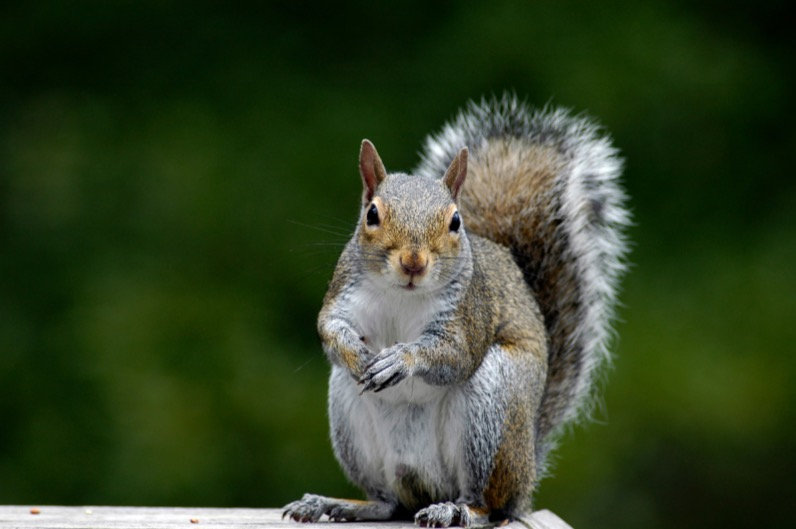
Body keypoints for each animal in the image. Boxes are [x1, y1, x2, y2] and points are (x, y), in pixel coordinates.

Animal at [283, 94, 629, 527]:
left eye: (455, 220)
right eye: (372, 214)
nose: (413, 263)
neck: (403, 294)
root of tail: (527, 472)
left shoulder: (469, 313)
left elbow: (456, 353)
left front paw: (401, 358)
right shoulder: (345, 293)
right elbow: (330, 326)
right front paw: (357, 354)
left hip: (493, 408)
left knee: (489, 504)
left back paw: (457, 509)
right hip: (350, 417)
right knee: (388, 502)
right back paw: (336, 504)